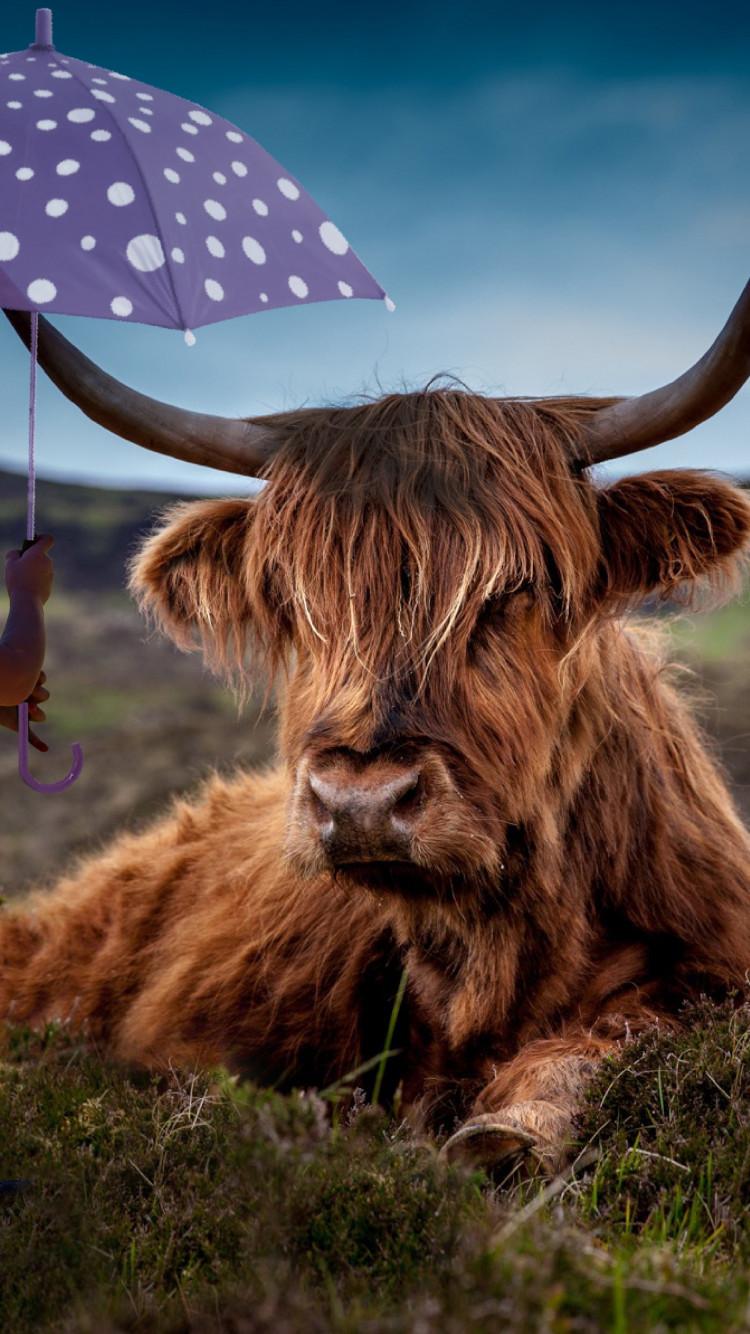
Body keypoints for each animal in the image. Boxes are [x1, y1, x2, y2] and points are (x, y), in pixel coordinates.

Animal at [1, 285, 750, 1171]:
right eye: (290, 597)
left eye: (519, 587)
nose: (360, 802)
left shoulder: (712, 970)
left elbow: (623, 1032)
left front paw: (509, 1129)